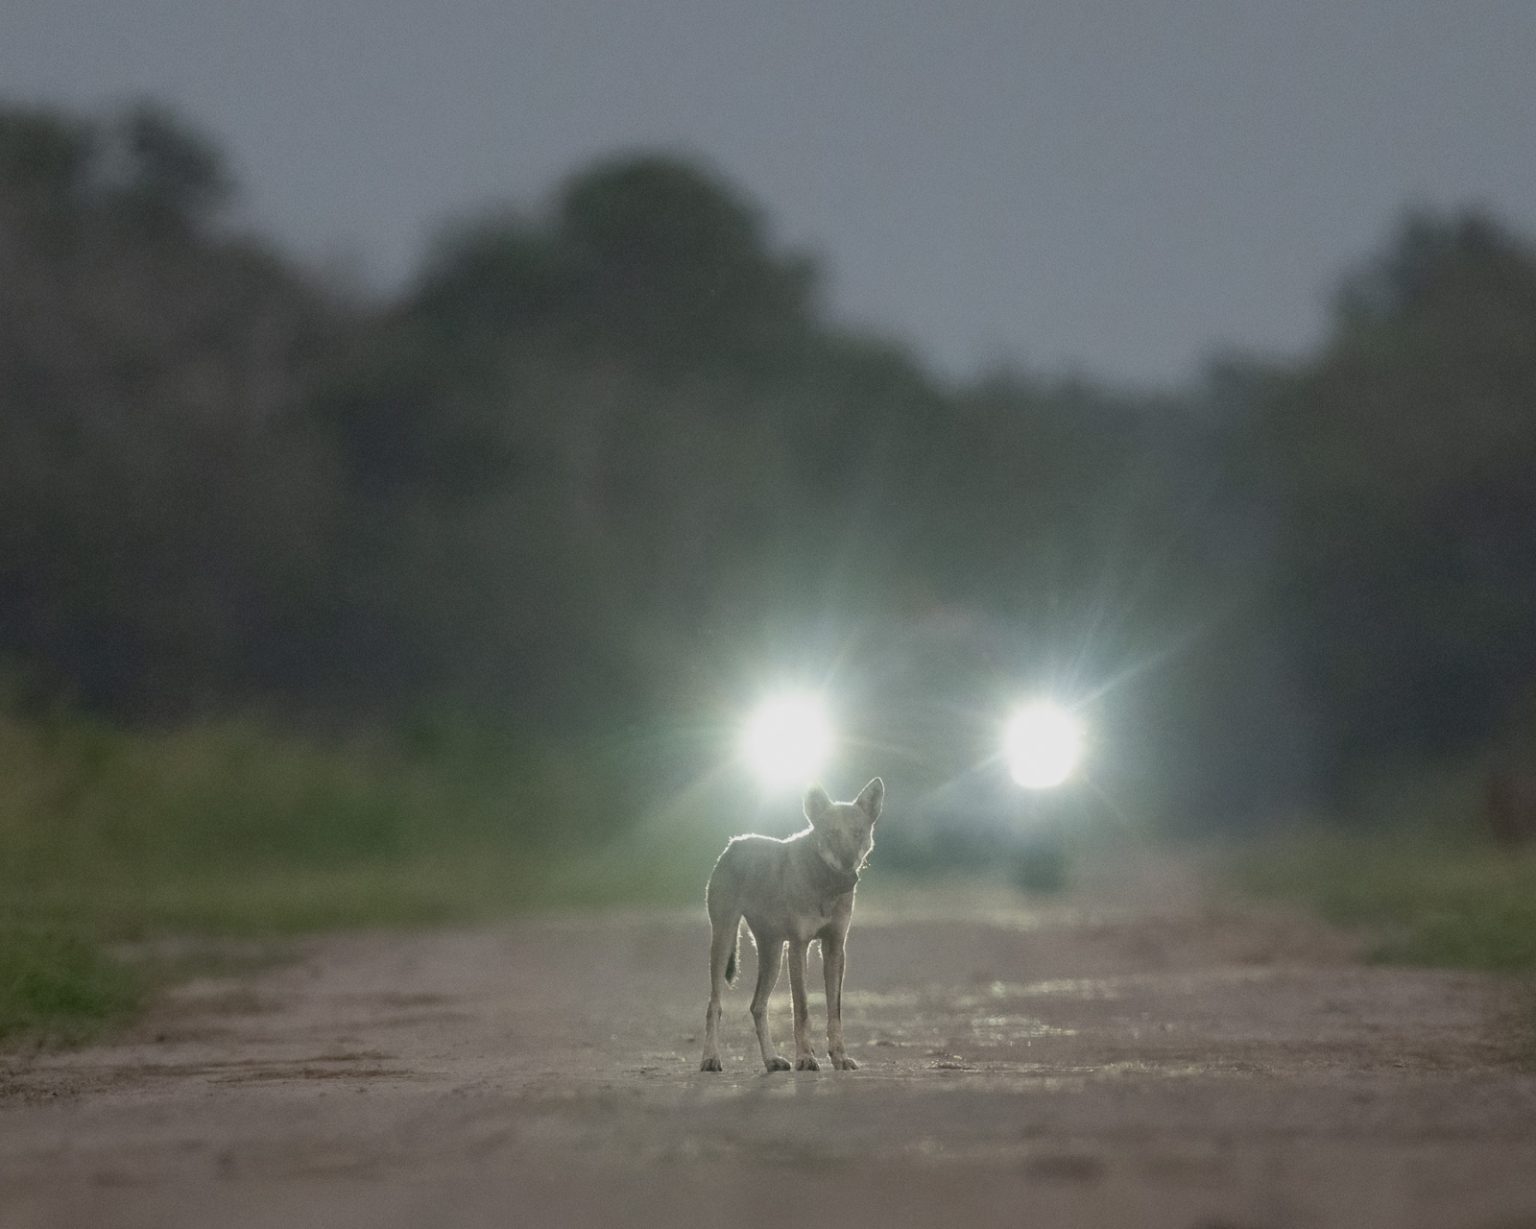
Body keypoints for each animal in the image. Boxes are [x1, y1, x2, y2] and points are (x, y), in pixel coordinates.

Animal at [699, 777, 884, 1073]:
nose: (847, 863)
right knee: (714, 1006)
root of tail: (733, 844)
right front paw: (806, 1058)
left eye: (857, 833)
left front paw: (839, 1057)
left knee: (757, 1006)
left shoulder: (834, 948)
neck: (825, 887)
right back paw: (711, 1058)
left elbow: (835, 1012)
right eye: (831, 834)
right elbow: (802, 1010)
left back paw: (771, 1060)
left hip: (772, 956)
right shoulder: (799, 947)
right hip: (724, 942)